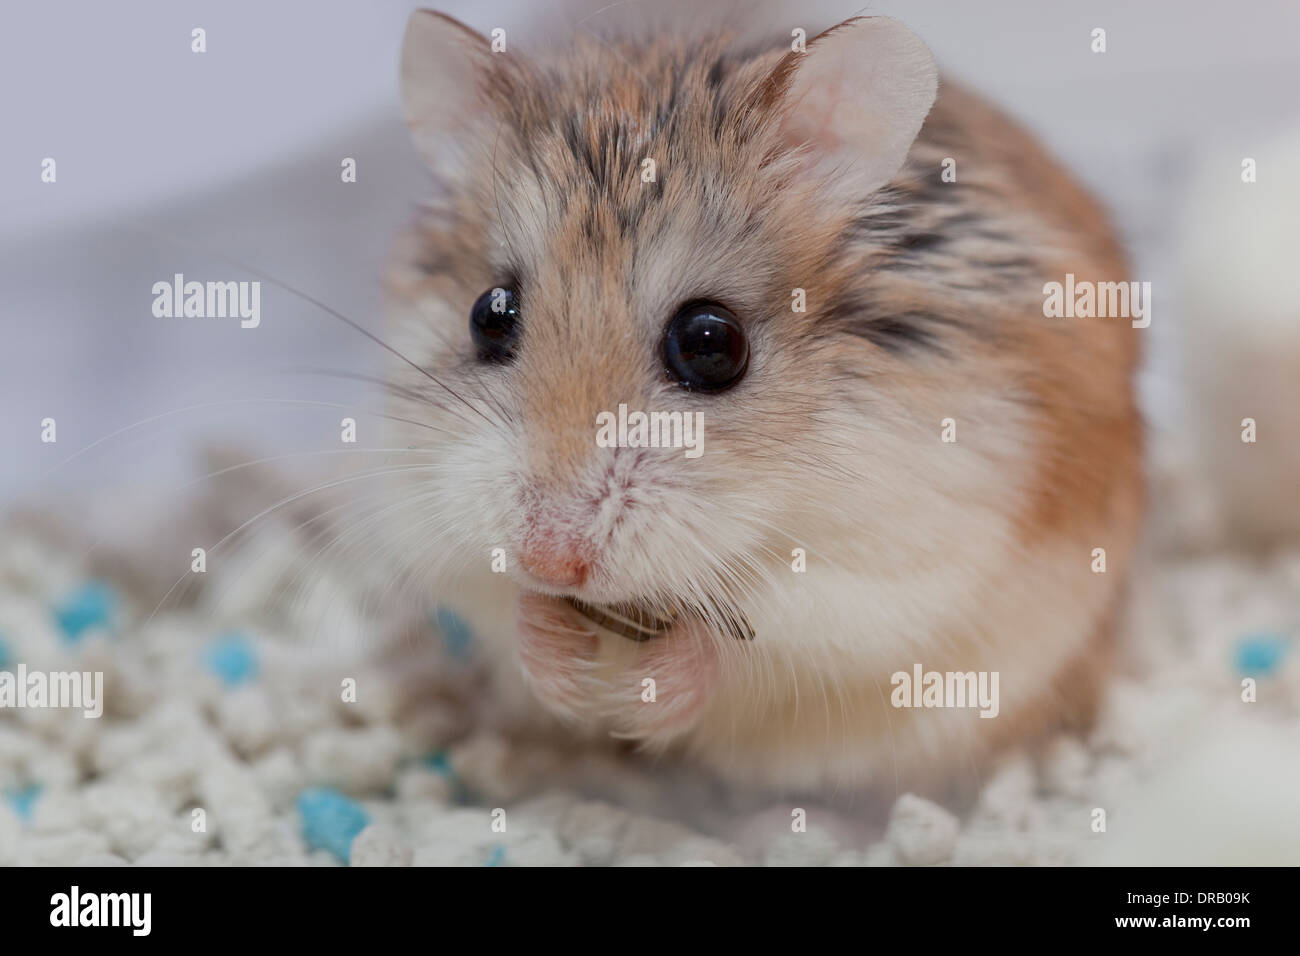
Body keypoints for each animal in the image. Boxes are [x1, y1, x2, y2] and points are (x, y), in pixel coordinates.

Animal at [380, 6, 1143, 795]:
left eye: (710, 343)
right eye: (488, 315)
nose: (551, 561)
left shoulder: (888, 579)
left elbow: (745, 650)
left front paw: (643, 698)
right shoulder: (425, 518)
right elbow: (505, 608)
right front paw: (561, 663)